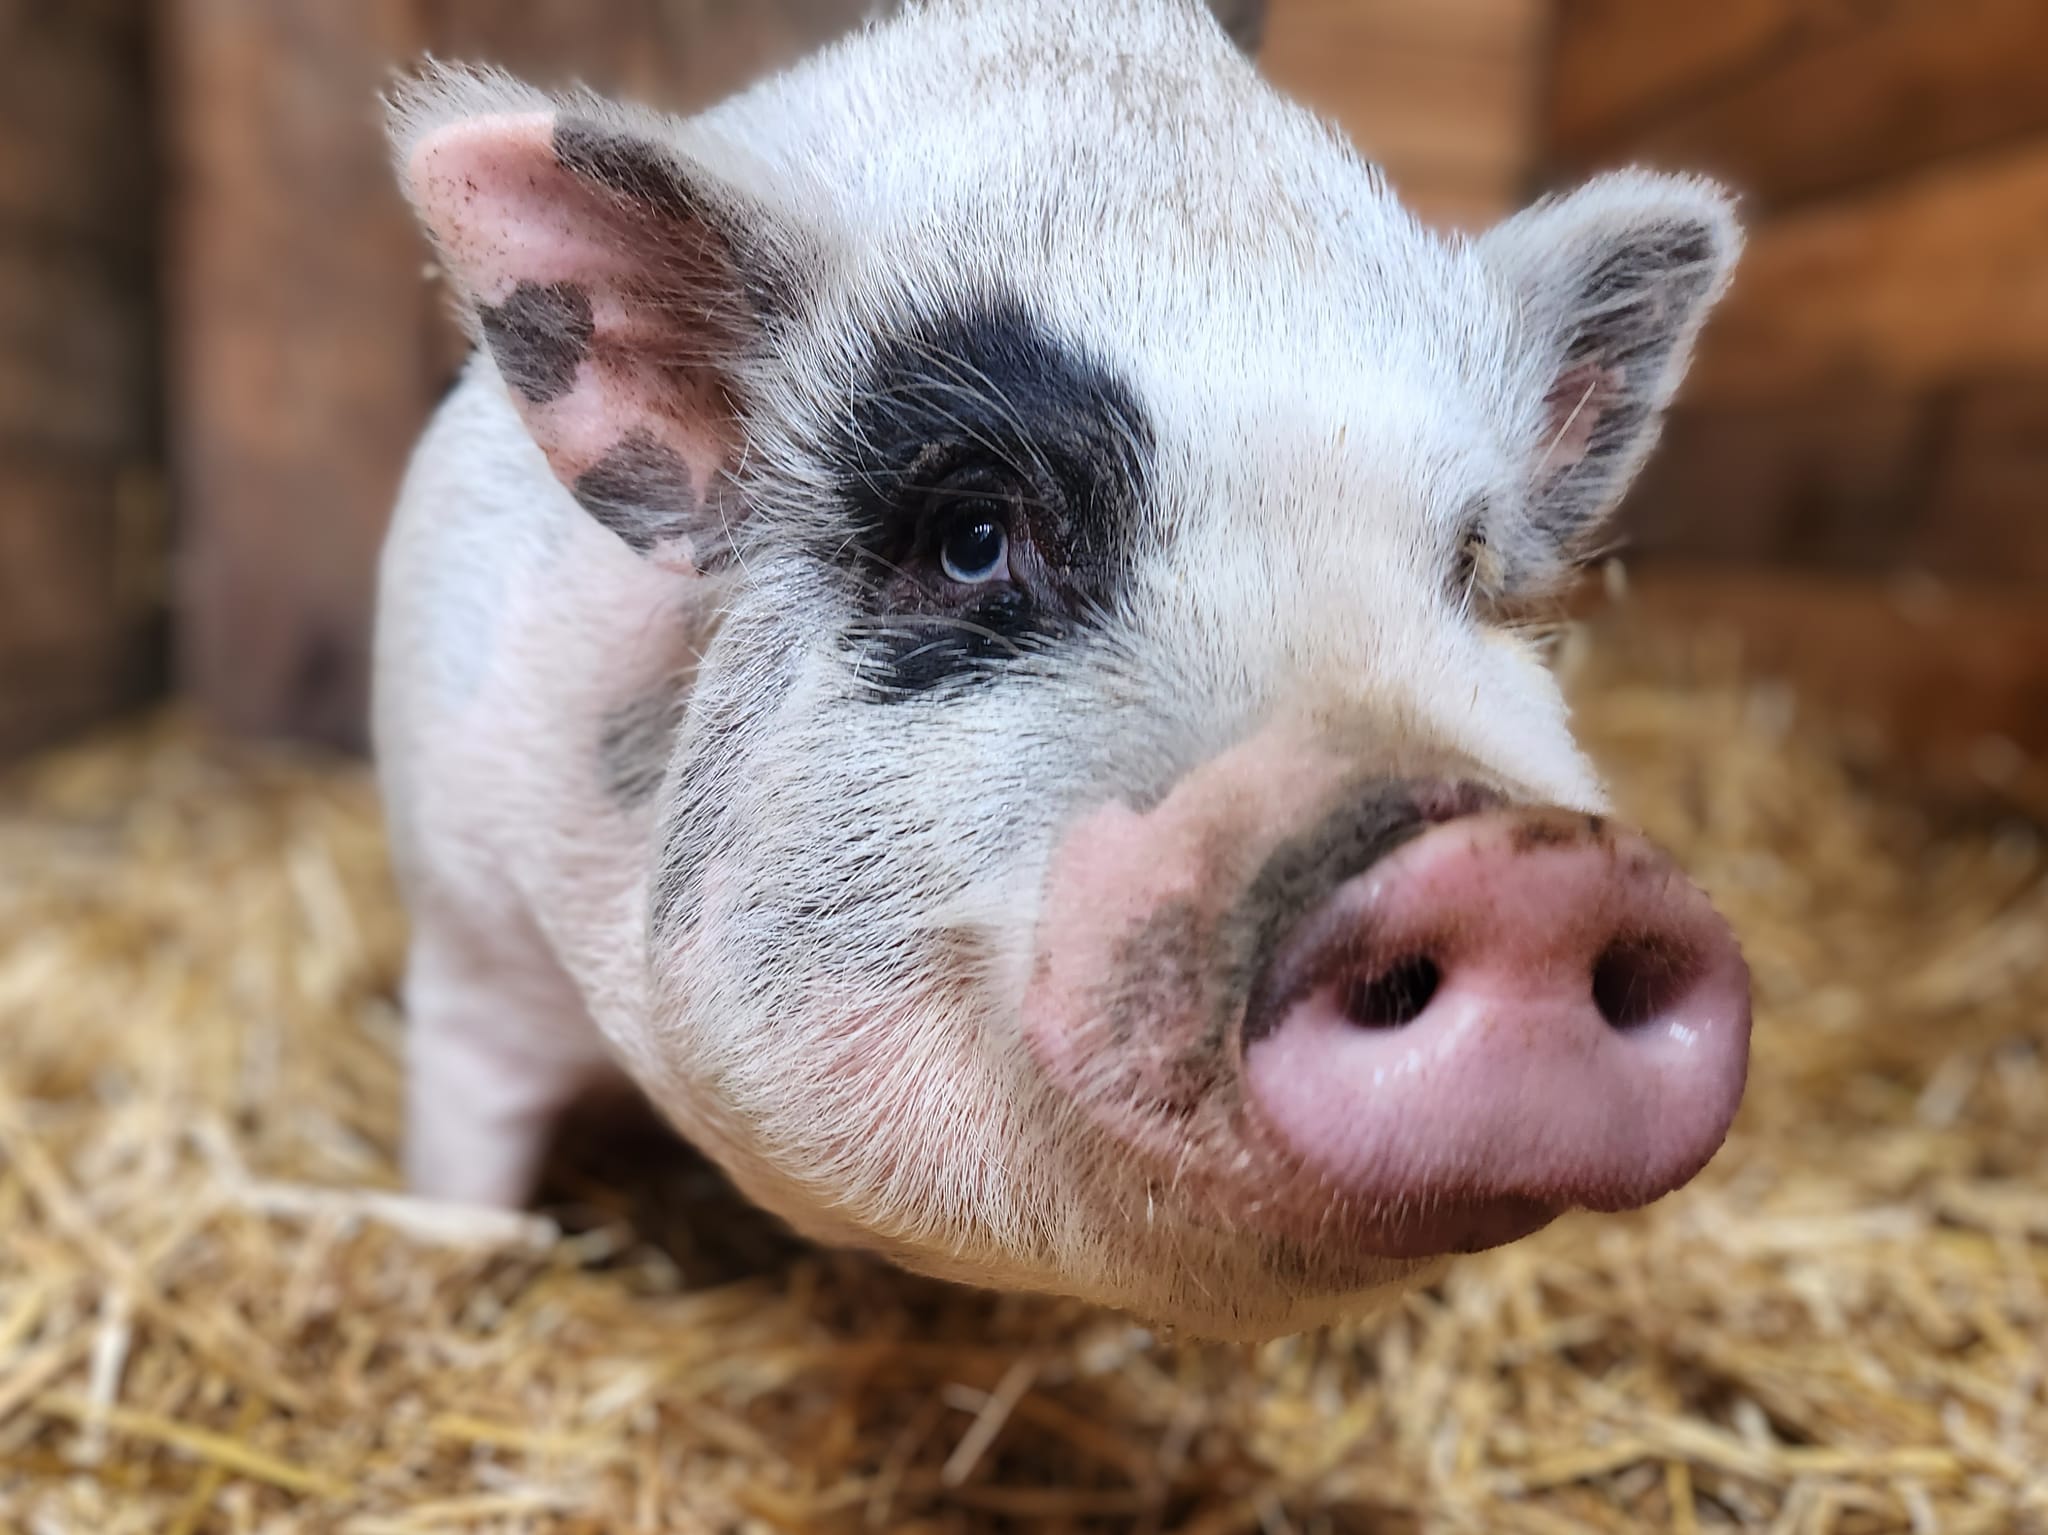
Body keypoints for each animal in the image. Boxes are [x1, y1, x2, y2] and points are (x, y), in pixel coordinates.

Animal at [373, 0, 1751, 1340]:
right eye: (971, 537)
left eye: (1464, 564)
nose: (1534, 867)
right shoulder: (465, 918)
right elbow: (463, 1150)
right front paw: (452, 1259)